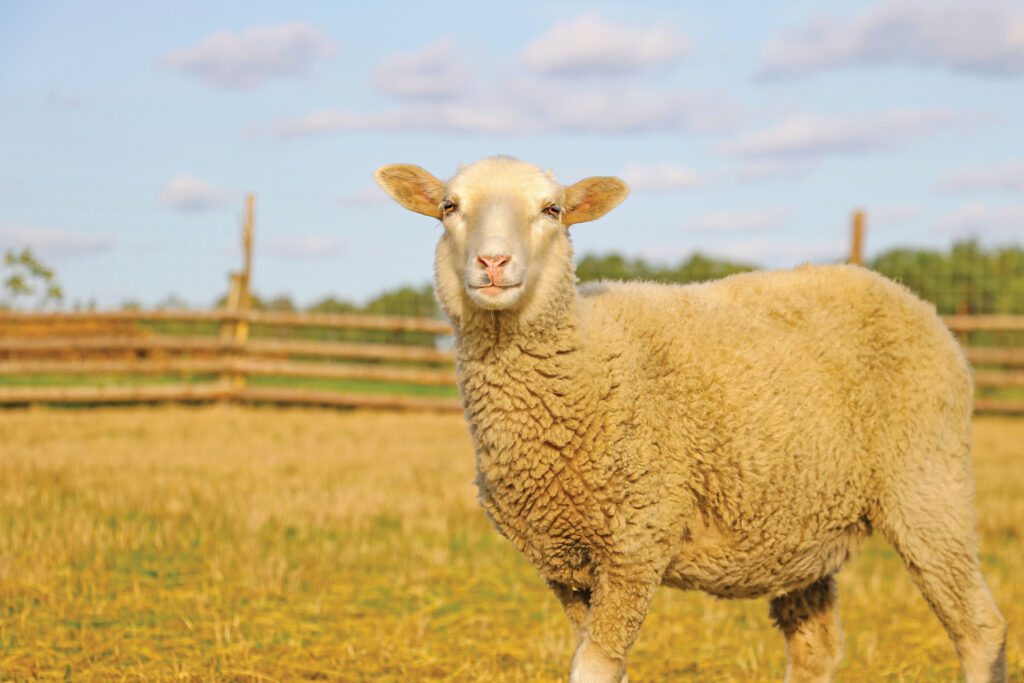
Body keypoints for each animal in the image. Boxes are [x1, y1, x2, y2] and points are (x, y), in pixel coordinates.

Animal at [373, 156, 1007, 683]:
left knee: (981, 629)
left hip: (927, 481)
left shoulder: (637, 538)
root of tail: (906, 296)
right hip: (802, 527)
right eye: (449, 206)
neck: (585, 357)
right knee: (817, 650)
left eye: (552, 209)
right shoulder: (567, 565)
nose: (493, 262)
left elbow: (594, 669)